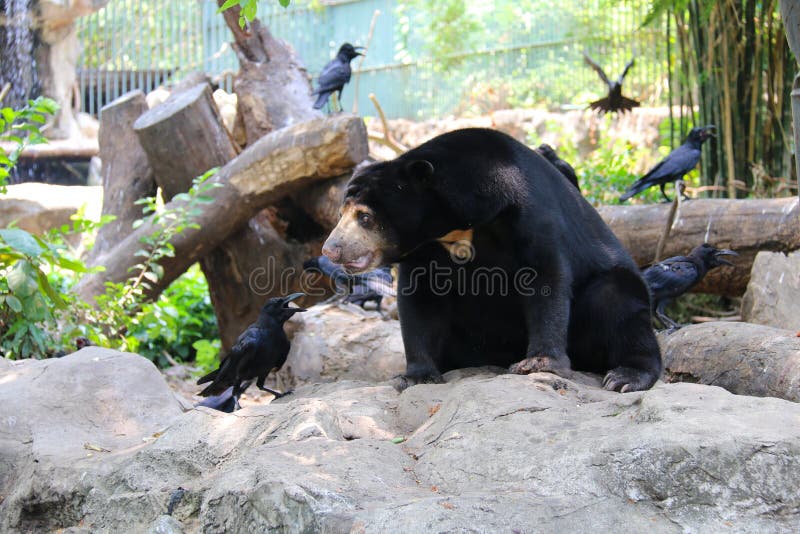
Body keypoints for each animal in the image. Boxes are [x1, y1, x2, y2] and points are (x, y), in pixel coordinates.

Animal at [322, 128, 662, 393]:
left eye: (365, 217)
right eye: (341, 214)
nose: (331, 249)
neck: (456, 223)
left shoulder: (529, 212)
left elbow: (545, 275)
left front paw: (538, 362)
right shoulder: (426, 248)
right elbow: (420, 296)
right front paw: (416, 376)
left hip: (613, 289)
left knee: (618, 301)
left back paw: (625, 377)